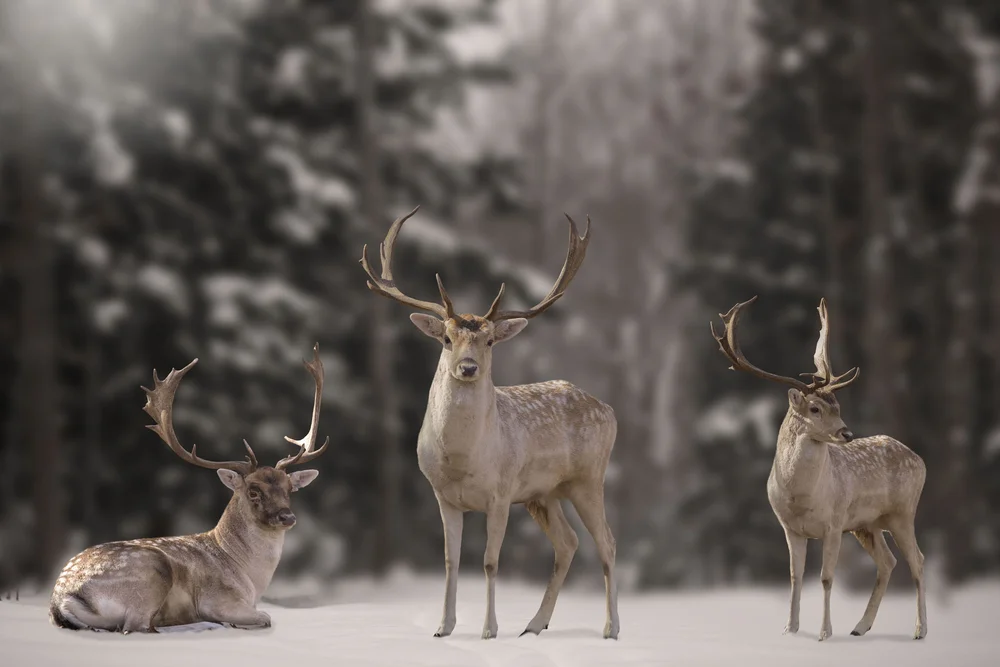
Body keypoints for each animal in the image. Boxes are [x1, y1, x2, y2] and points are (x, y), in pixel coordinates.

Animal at [49, 344, 329, 633]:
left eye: (289, 489)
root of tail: (63, 598)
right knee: (136, 625)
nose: (287, 517)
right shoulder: (218, 599)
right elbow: (266, 617)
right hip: (152, 572)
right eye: (253, 491)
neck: (250, 580)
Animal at [360, 207, 620, 640]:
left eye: (490, 341)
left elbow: (489, 561)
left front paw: (488, 630)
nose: (468, 367)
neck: (462, 461)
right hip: (543, 493)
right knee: (568, 543)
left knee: (608, 544)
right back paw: (534, 625)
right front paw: (443, 627)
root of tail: (610, 411)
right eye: (446, 339)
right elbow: (450, 562)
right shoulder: (444, 496)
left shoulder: (500, 493)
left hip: (587, 477)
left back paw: (610, 629)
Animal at [712, 297, 927, 641]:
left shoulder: (834, 523)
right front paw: (790, 629)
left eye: (837, 407)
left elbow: (826, 577)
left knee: (917, 561)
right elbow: (795, 577)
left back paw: (920, 630)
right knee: (888, 561)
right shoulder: (790, 528)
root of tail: (919, 459)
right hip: (867, 524)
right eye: (814, 408)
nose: (846, 433)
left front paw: (825, 633)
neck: (800, 497)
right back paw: (860, 628)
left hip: (902, 512)